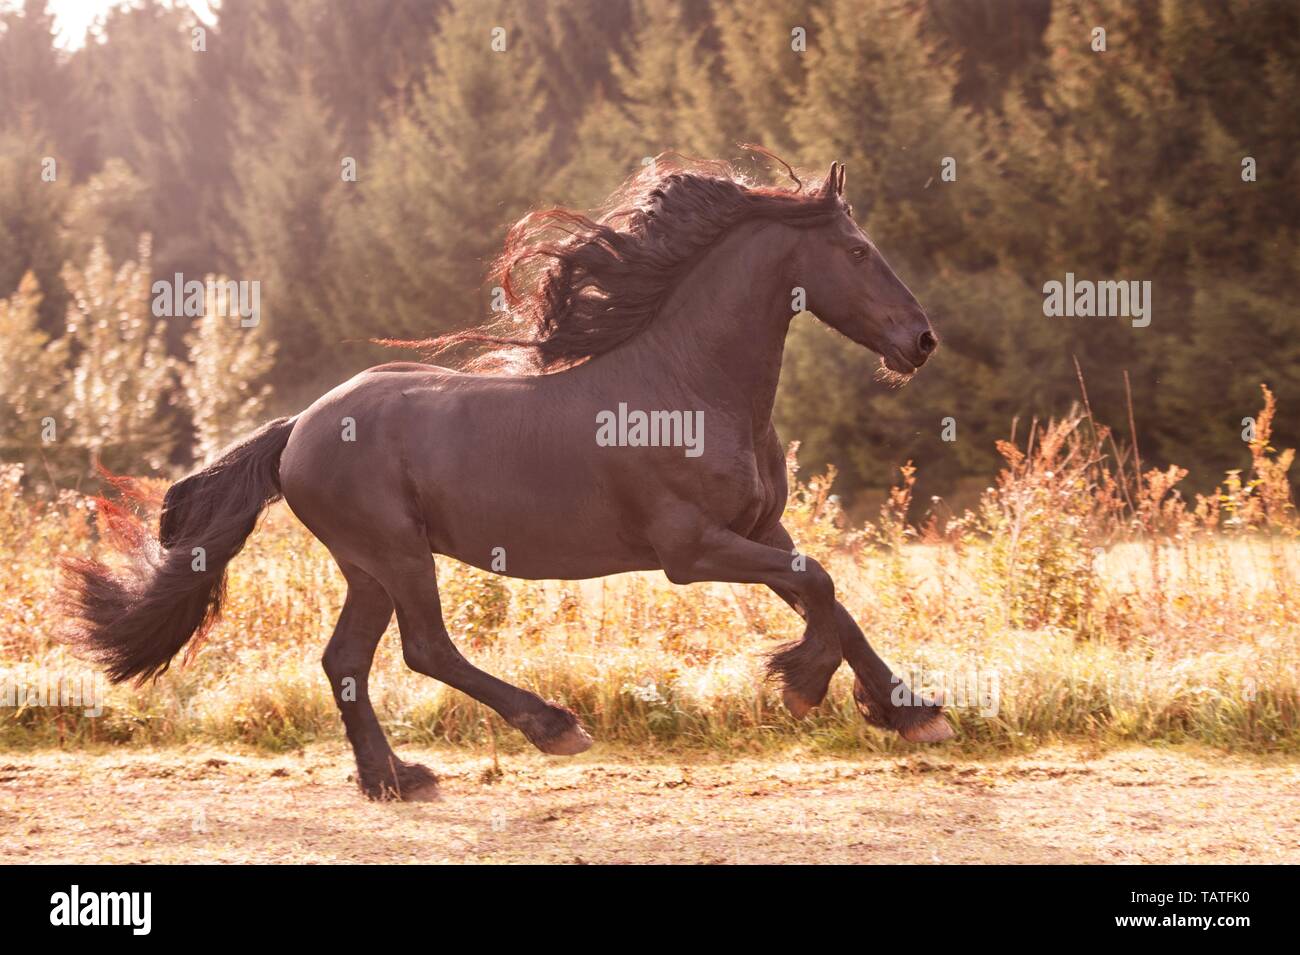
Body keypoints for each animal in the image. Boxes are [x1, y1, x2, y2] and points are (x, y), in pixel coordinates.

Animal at [61, 155, 950, 800]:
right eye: (859, 251)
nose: (921, 341)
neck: (690, 386)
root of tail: (298, 427)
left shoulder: (759, 530)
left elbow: (830, 596)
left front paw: (912, 712)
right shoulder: (693, 549)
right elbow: (822, 582)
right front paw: (803, 684)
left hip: (368, 566)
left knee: (345, 658)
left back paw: (395, 780)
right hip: (395, 553)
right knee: (425, 648)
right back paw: (551, 726)